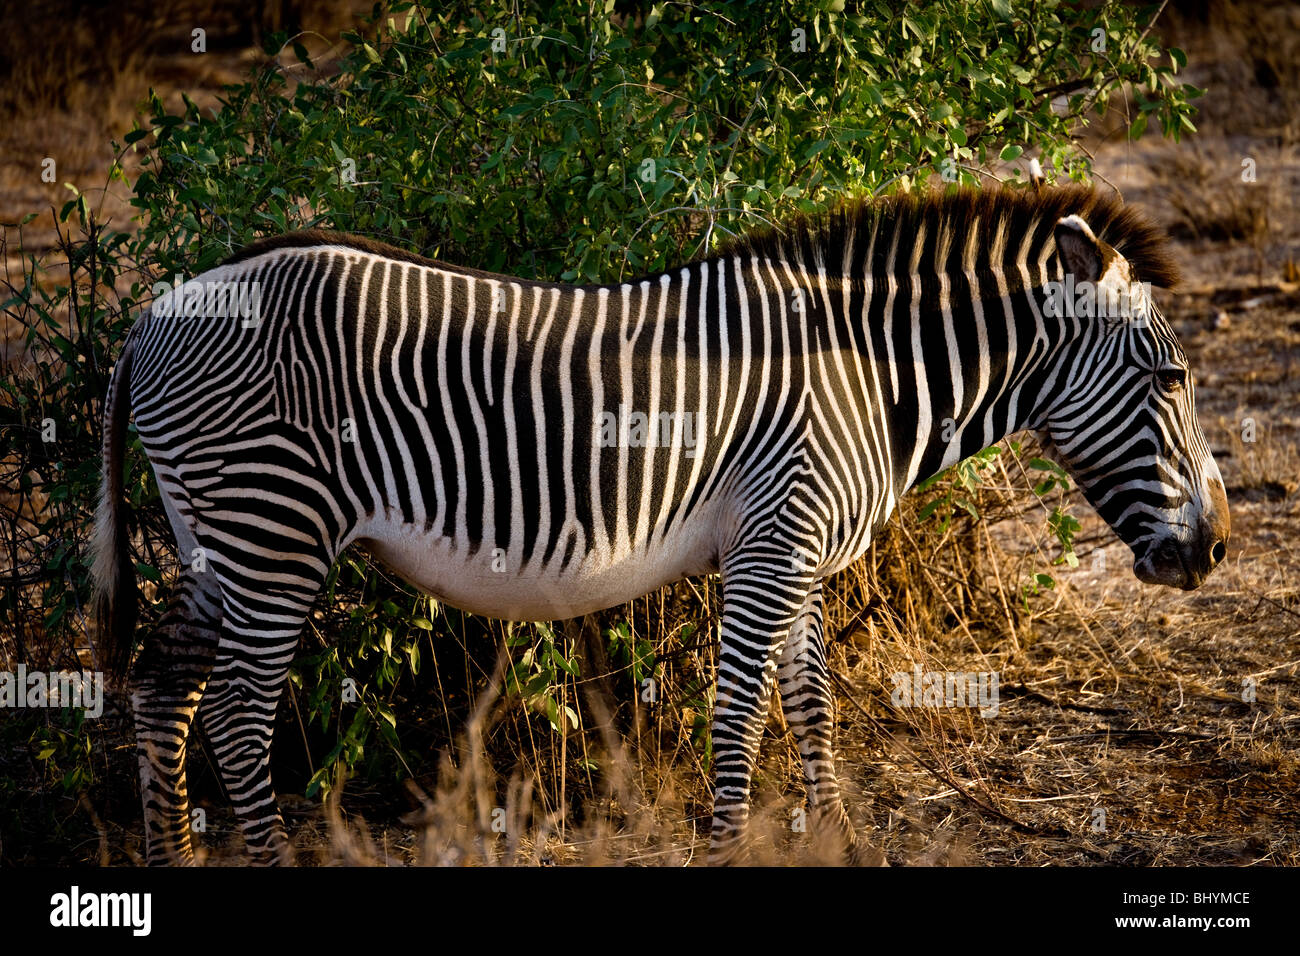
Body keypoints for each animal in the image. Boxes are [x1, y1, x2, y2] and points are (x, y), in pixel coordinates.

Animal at [93, 184, 1229, 865]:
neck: (867, 373)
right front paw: (727, 848)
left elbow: (811, 706)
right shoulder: (773, 547)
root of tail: (152, 314)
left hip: (216, 541)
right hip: (274, 528)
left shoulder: (796, 552)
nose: (1217, 548)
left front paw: (839, 838)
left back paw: (171, 857)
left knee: (161, 688)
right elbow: (738, 717)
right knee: (238, 712)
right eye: (1171, 376)